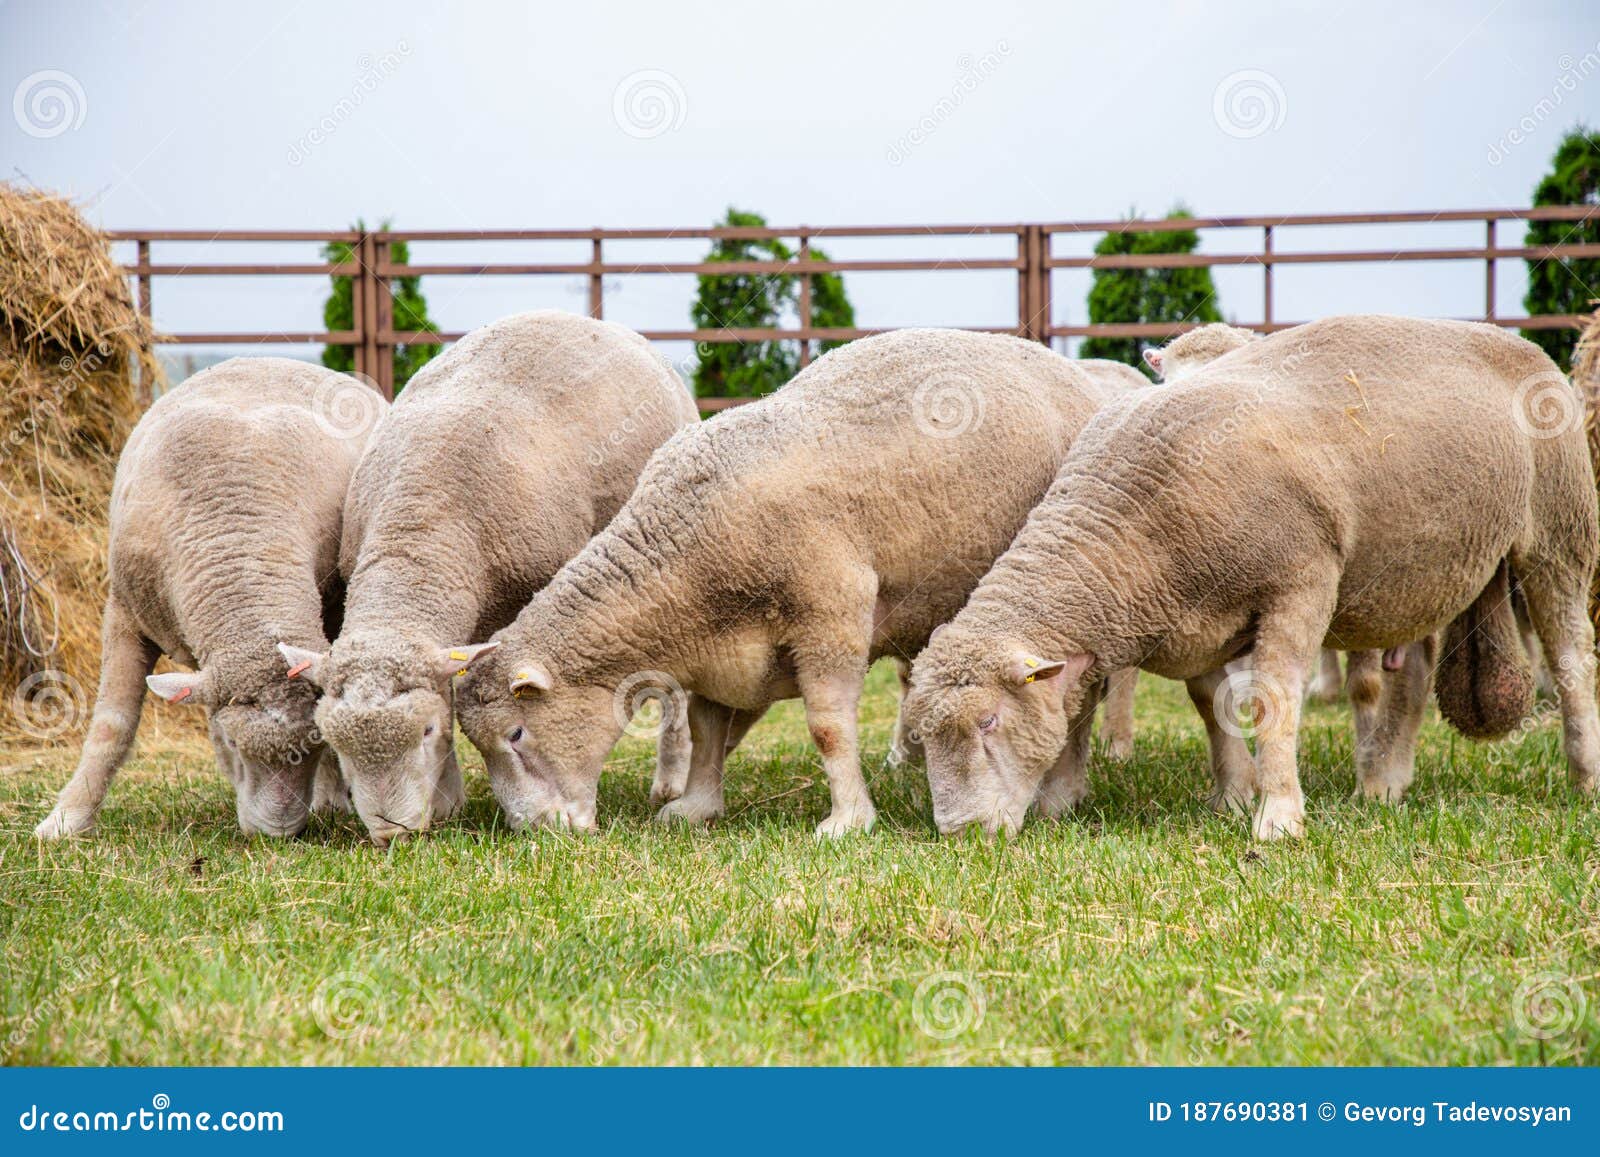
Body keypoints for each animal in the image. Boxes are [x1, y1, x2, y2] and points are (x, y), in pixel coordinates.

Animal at [35, 358, 384, 839]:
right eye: (231, 742)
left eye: (313, 744)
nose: (275, 834)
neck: (234, 535)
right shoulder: (124, 613)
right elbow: (112, 726)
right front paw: (67, 817)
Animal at [278, 311, 699, 846]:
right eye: (334, 741)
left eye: (426, 731)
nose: (392, 835)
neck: (422, 523)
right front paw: (448, 798)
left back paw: (671, 780)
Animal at [453, 328, 1117, 837]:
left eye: (516, 733)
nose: (533, 831)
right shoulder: (717, 652)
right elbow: (706, 729)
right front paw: (696, 807)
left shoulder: (831, 617)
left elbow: (827, 727)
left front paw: (848, 821)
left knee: (1079, 695)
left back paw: (1063, 788)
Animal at [902, 315, 1600, 840]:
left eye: (987, 722)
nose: (960, 834)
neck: (1133, 527)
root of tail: (1506, 335)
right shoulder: (1199, 621)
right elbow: (1207, 702)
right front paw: (1232, 793)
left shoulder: (1302, 585)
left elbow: (1273, 699)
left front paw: (1278, 817)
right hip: (1422, 569)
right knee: (1418, 669)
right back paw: (1384, 782)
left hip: (1558, 528)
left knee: (1570, 658)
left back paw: (1584, 777)